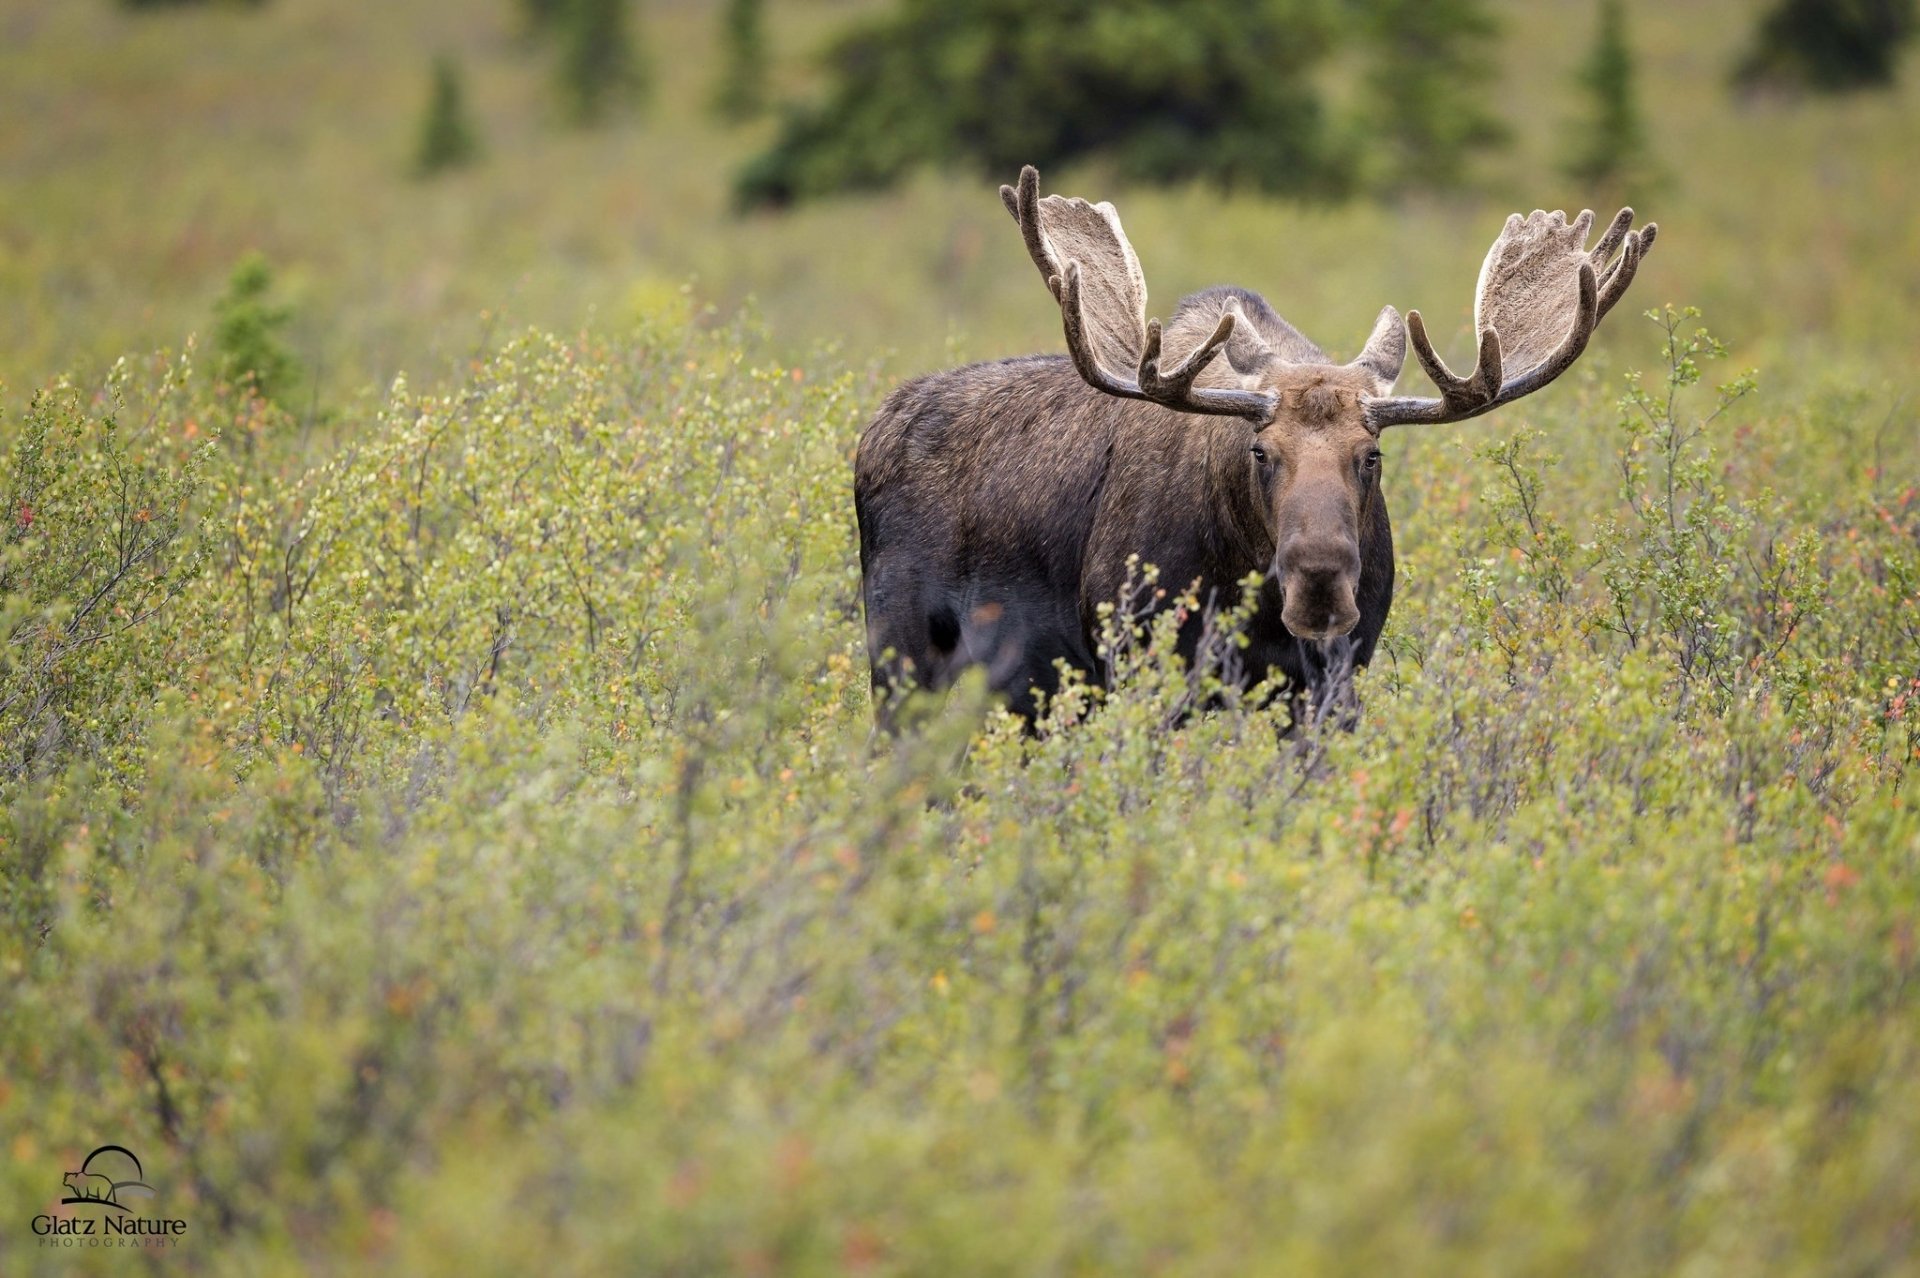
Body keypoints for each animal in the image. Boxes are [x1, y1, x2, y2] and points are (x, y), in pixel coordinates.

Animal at [854, 166, 1656, 726]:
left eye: (1372, 456)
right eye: (1260, 452)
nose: (1320, 580)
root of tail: (872, 432)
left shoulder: (1331, 682)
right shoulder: (1142, 666)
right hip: (902, 659)